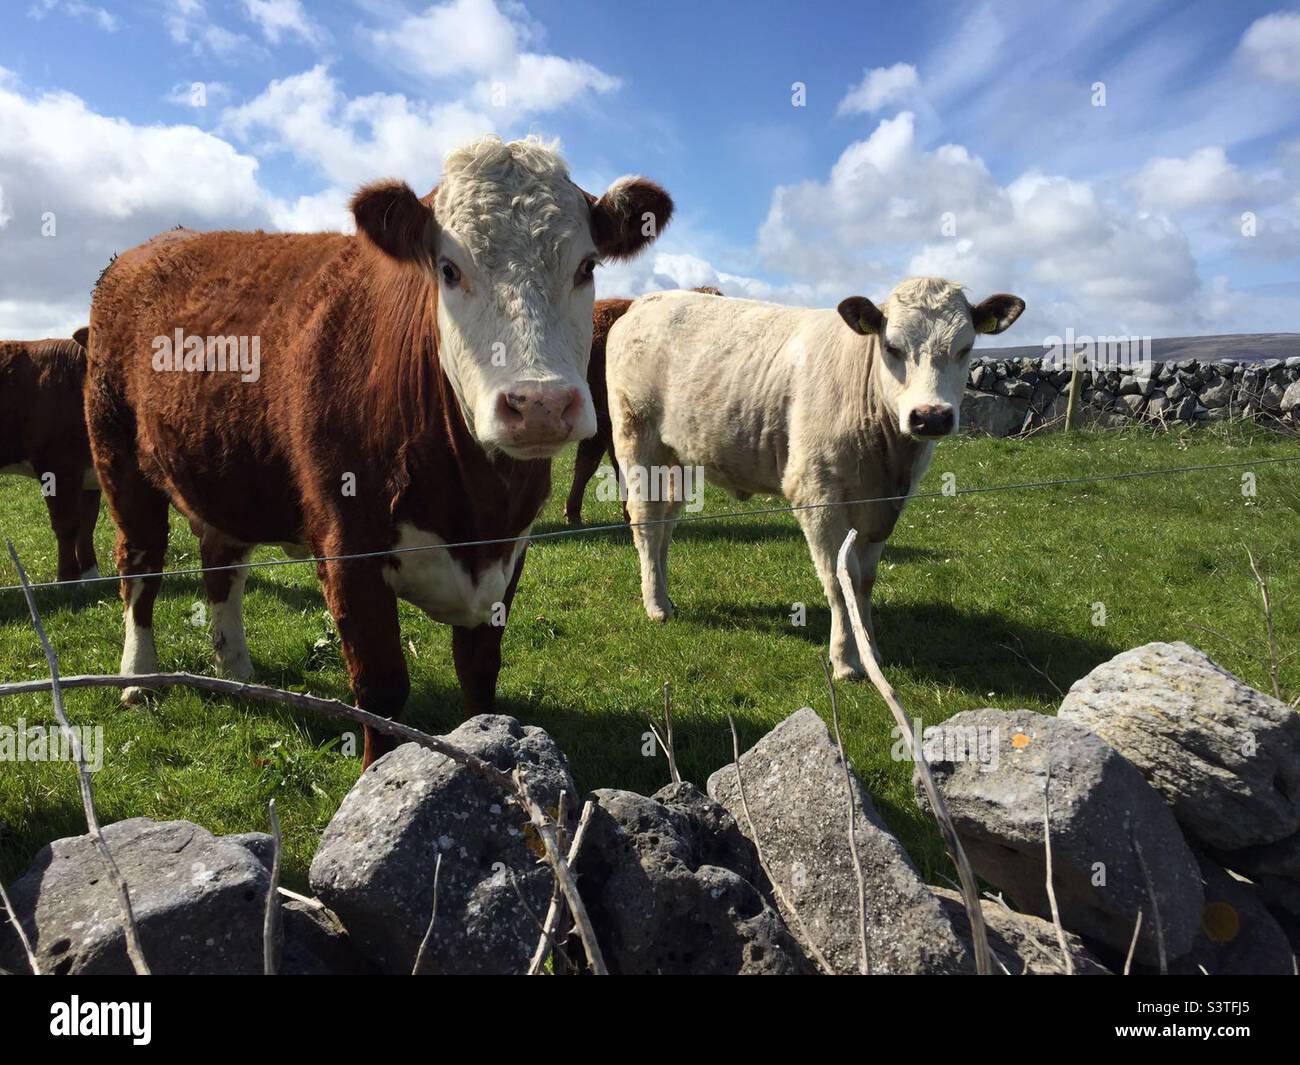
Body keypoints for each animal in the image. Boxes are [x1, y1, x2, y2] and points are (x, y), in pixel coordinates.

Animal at [0, 327, 101, 581]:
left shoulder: (90, 473)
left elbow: (87, 525)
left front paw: (92, 576)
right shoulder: (57, 466)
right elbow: (67, 525)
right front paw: (67, 579)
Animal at [86, 135, 672, 767]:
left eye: (586, 266)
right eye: (448, 269)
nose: (539, 404)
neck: (475, 509)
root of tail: (153, 246)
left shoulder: (509, 551)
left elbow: (480, 673)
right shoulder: (348, 548)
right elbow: (381, 688)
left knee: (223, 565)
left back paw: (235, 666)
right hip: (118, 457)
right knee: (140, 563)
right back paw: (138, 678)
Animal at [604, 278, 1024, 680]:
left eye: (965, 347)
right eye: (892, 347)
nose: (931, 416)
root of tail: (646, 302)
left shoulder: (883, 507)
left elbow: (864, 581)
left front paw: (871, 650)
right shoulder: (818, 496)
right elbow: (841, 581)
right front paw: (845, 661)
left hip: (678, 458)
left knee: (666, 521)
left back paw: (665, 596)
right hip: (637, 441)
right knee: (645, 520)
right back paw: (656, 605)